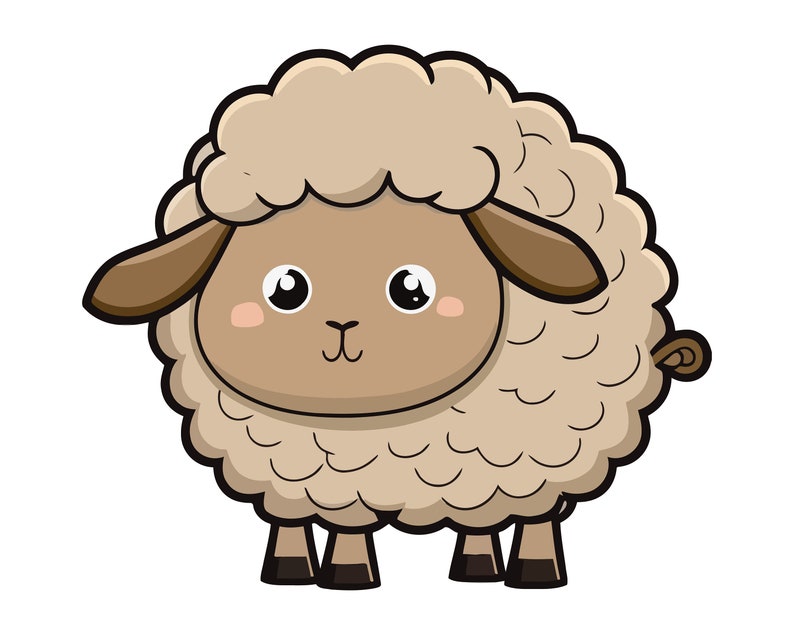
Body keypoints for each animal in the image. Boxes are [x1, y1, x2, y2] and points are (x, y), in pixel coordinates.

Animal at [84, 47, 710, 589]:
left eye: (412, 288)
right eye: (286, 288)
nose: (340, 328)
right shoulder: (304, 476)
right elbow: (318, 523)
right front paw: (317, 574)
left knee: (531, 515)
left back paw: (516, 573)